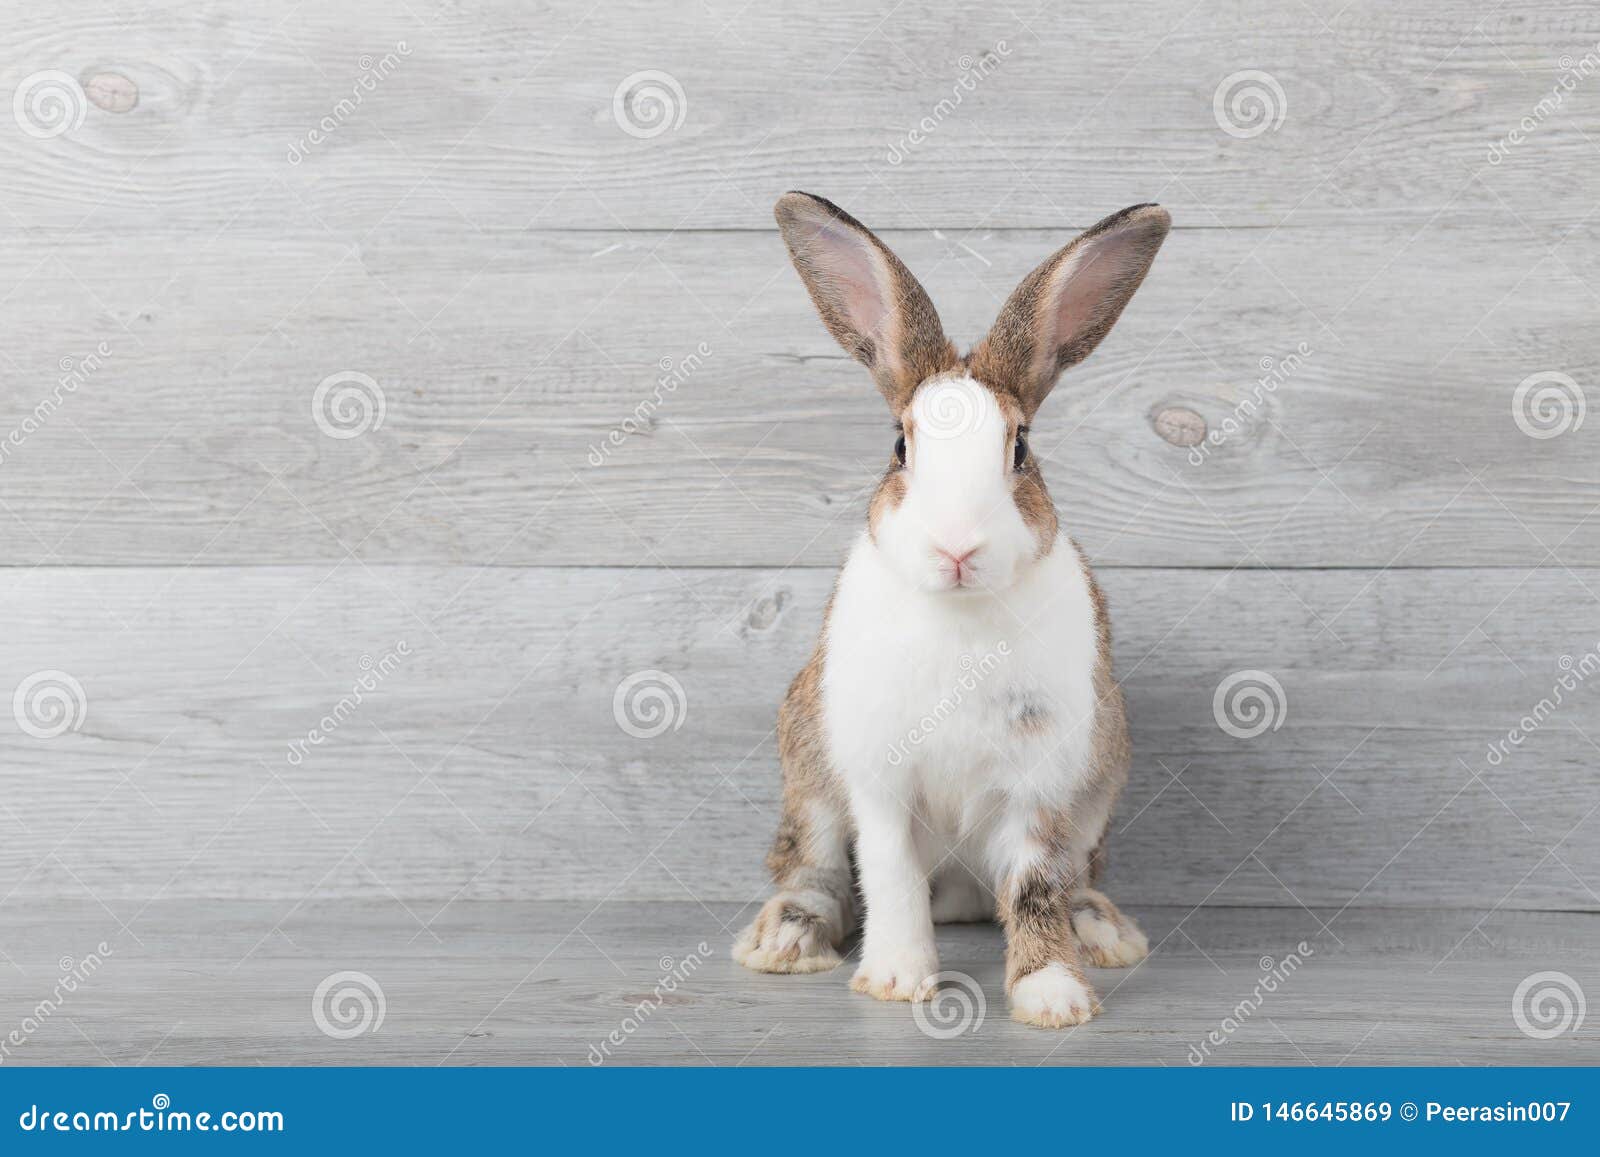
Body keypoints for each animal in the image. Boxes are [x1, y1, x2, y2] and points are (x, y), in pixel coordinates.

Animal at [732, 192, 1169, 1027]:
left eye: (1020, 449)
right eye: (900, 448)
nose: (957, 546)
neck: (962, 613)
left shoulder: (1043, 785)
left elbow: (1036, 886)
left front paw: (1053, 994)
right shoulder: (878, 781)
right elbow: (891, 876)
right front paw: (897, 978)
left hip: (1103, 780)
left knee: (1069, 880)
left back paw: (1102, 931)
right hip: (810, 773)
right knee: (812, 867)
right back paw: (785, 939)